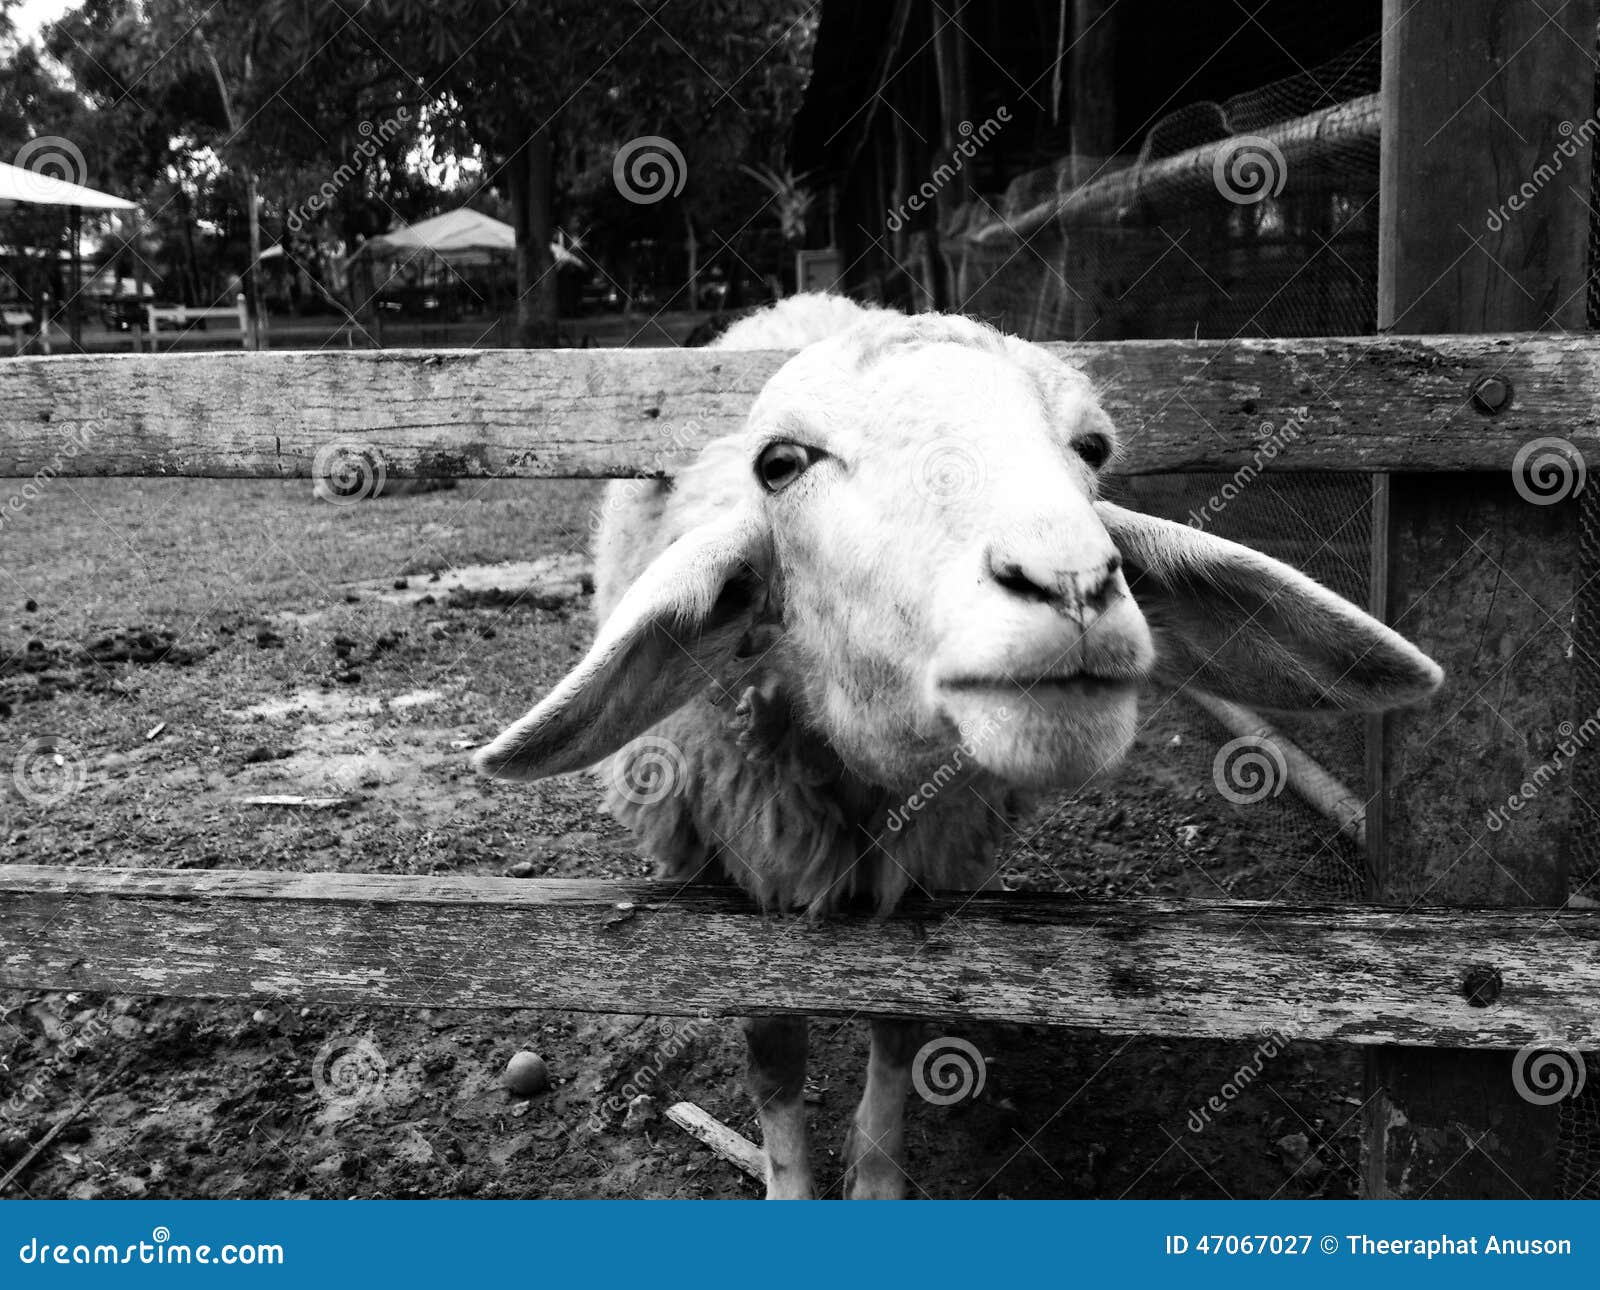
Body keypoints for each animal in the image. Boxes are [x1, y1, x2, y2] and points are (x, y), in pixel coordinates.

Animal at [475, 294, 1443, 1199]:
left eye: (1092, 447)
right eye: (780, 464)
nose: (1070, 585)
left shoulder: (926, 883)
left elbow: (900, 1033)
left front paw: (875, 1182)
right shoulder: (739, 880)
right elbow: (774, 1057)